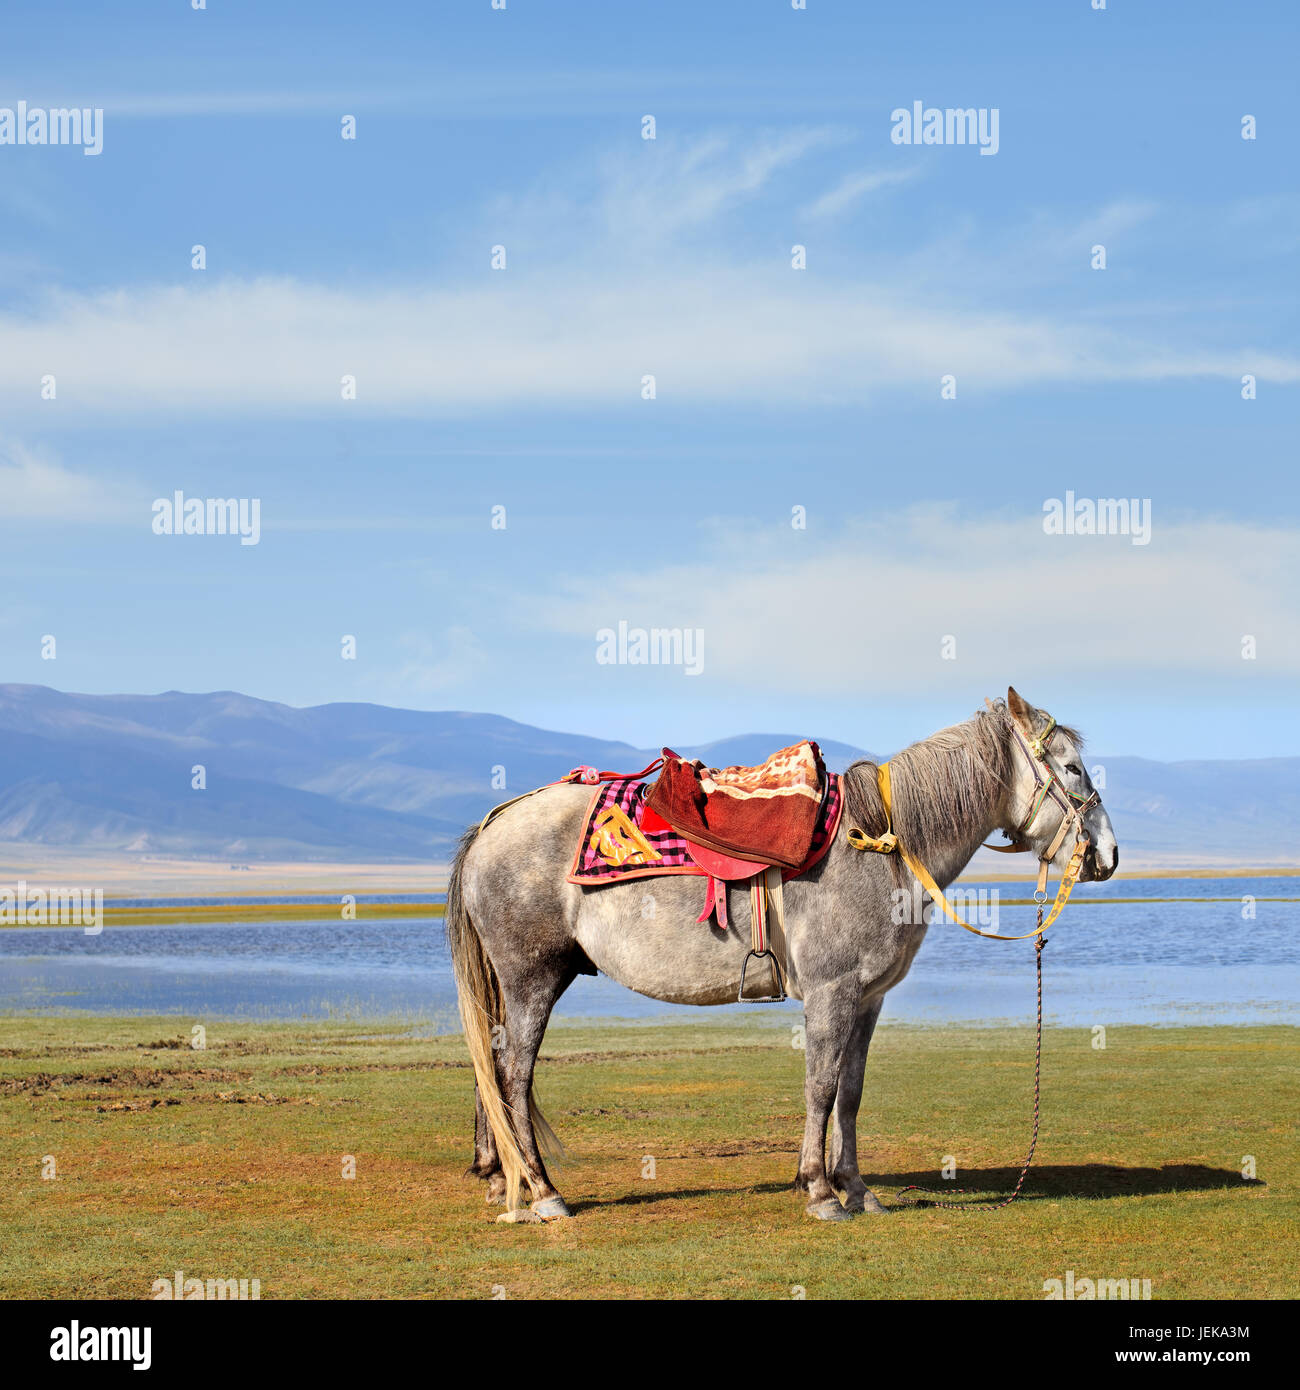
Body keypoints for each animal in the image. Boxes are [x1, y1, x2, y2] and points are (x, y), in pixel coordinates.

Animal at [446, 688, 1119, 1222]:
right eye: (1072, 768)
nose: (1107, 855)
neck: (883, 847)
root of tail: (492, 824)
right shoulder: (831, 992)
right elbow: (819, 1087)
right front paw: (820, 1192)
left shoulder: (867, 1000)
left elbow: (850, 1091)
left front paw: (857, 1190)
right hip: (533, 978)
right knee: (514, 1074)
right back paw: (543, 1193)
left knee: (495, 1072)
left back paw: (506, 1180)